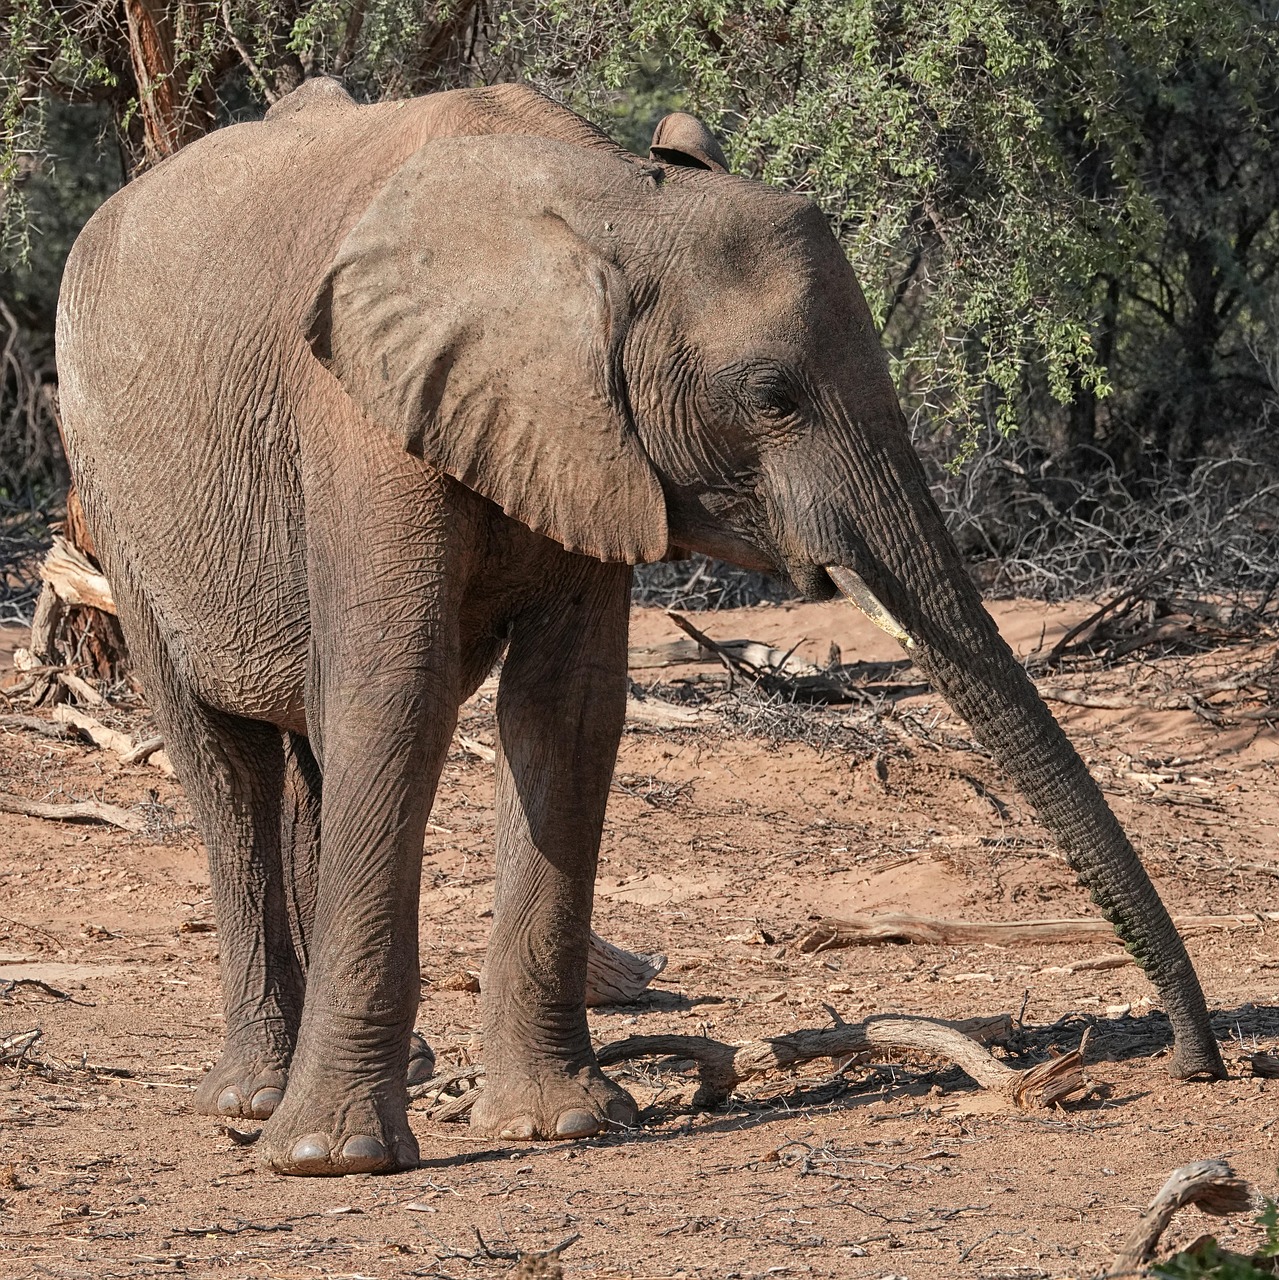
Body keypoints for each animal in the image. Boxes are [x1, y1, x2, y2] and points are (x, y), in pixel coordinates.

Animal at [55, 76, 1224, 1177]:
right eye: (772, 394)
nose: (1195, 1063)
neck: (602, 201)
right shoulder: (361, 414)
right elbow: (397, 698)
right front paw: (333, 1161)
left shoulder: (582, 434)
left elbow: (565, 714)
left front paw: (562, 1121)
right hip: (113, 489)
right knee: (229, 767)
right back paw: (257, 1101)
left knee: (305, 751)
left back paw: (381, 1074)